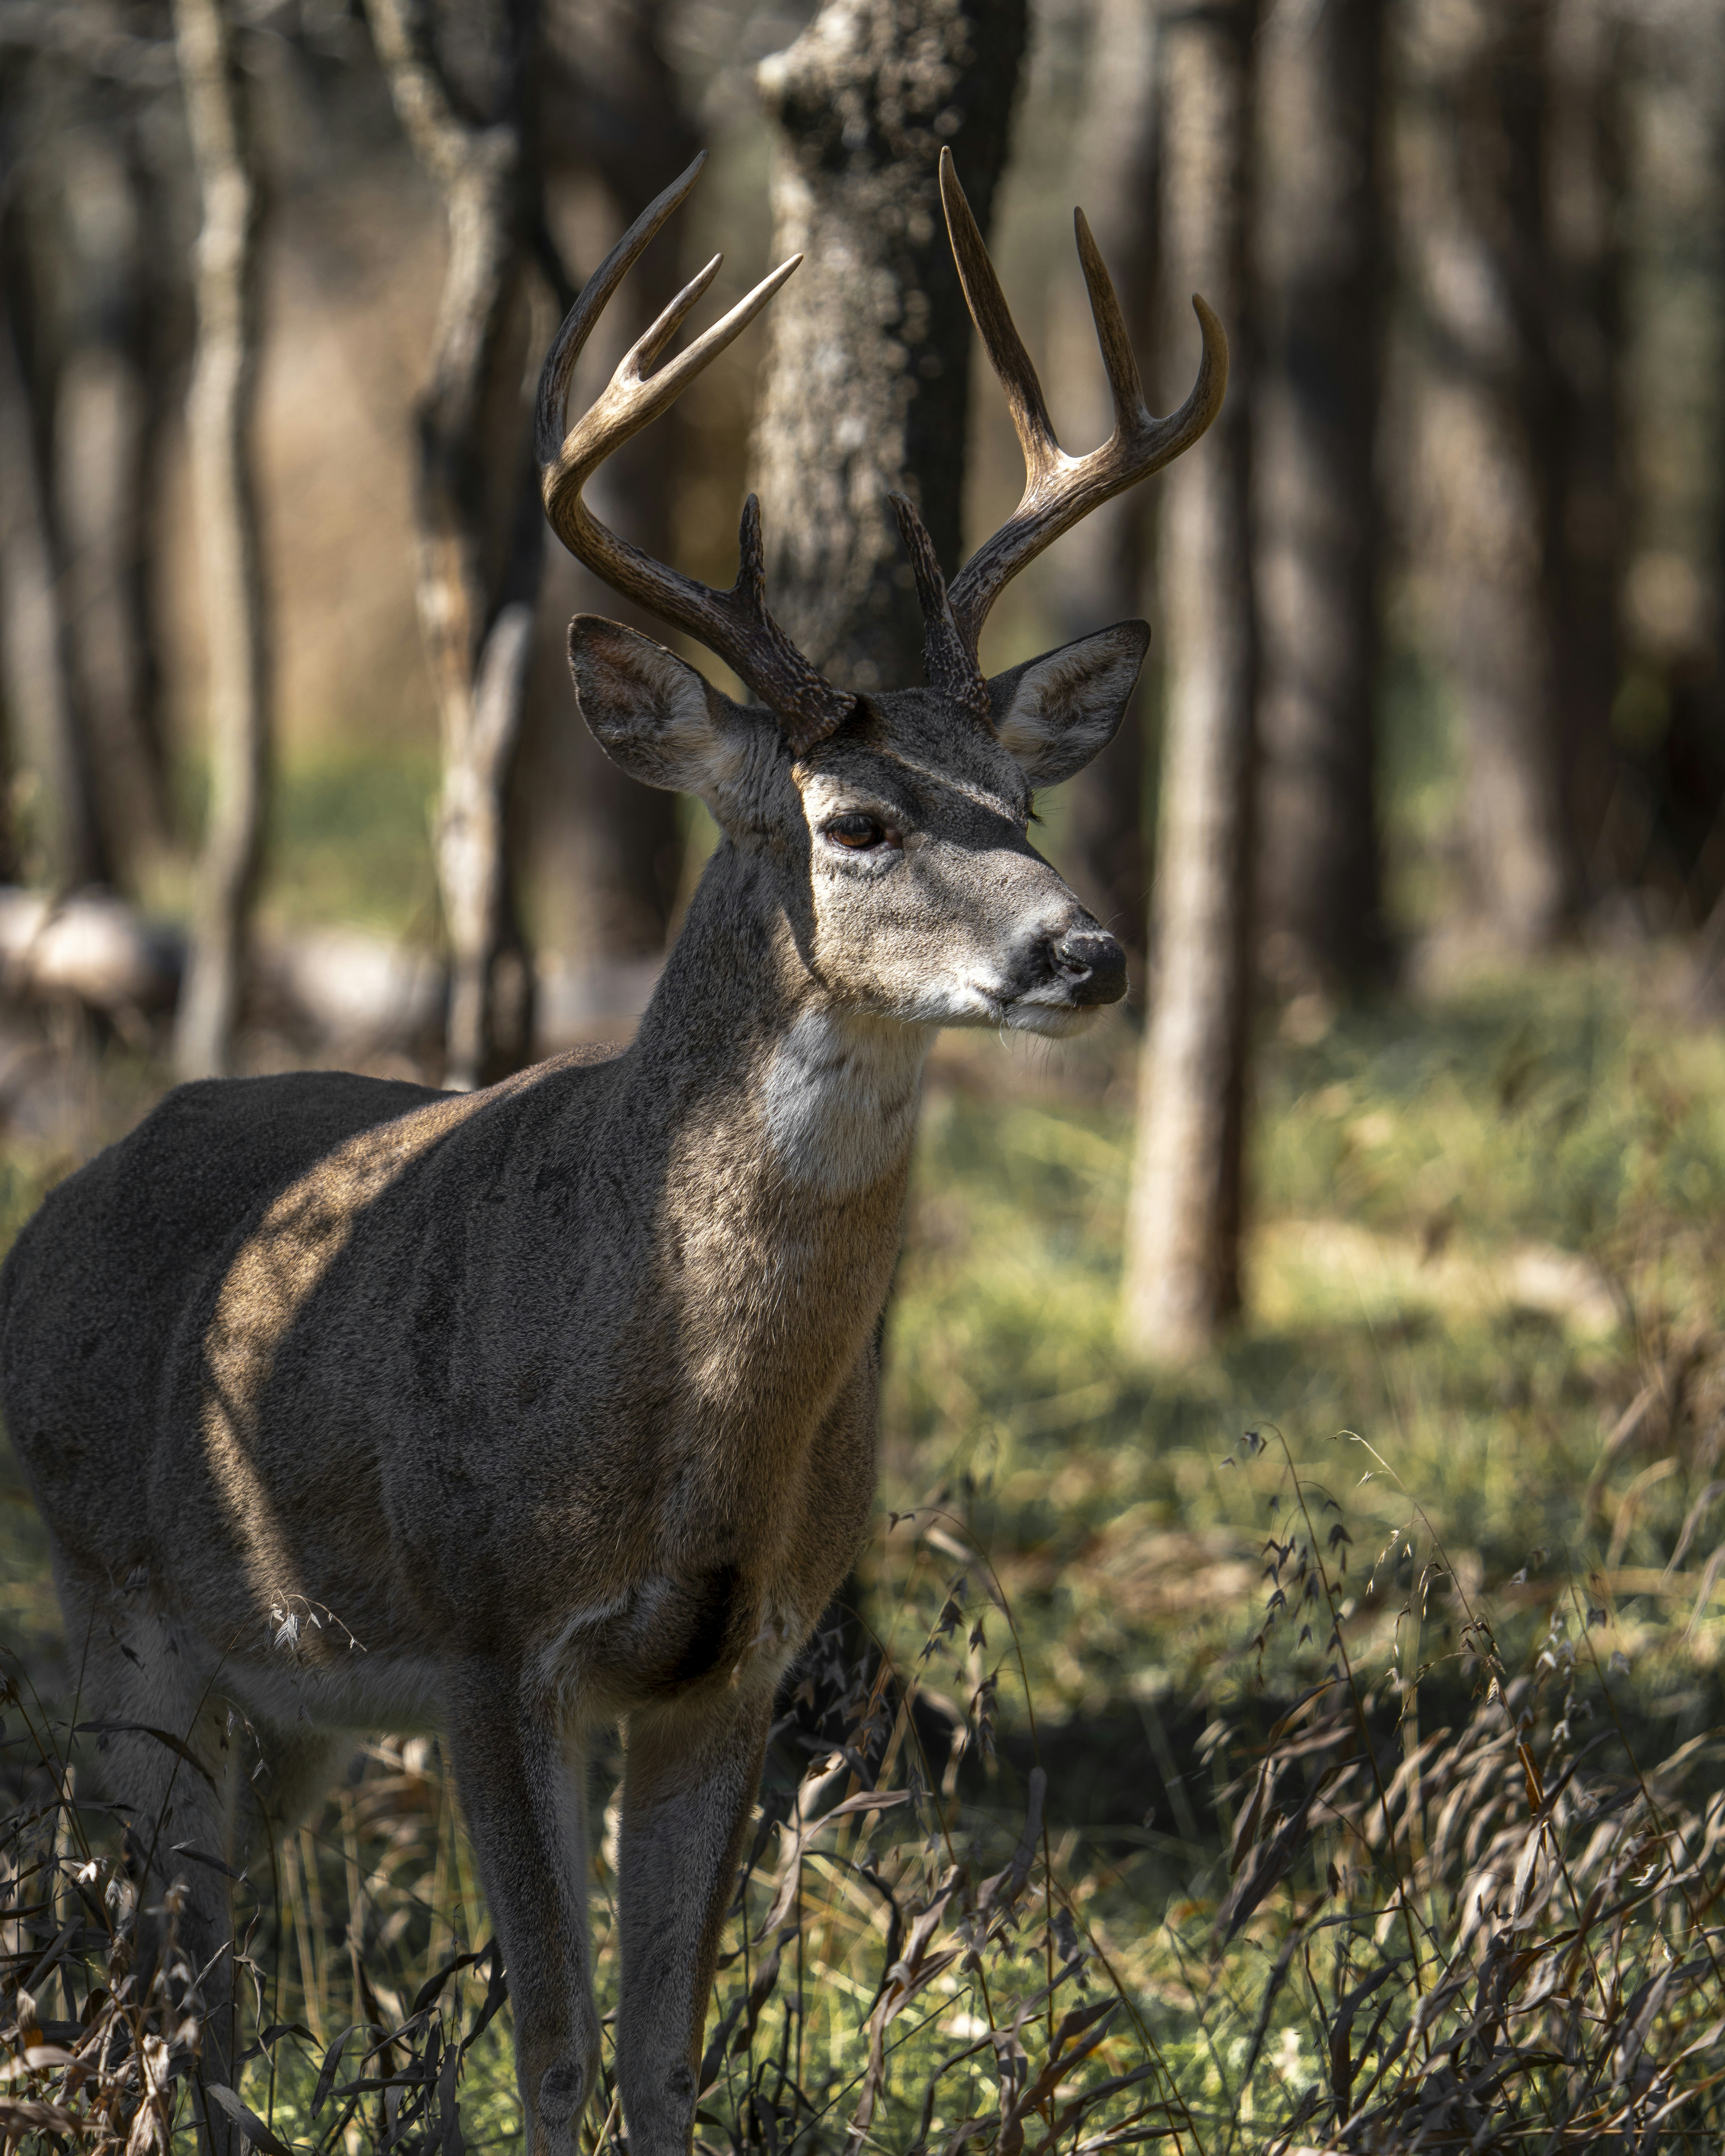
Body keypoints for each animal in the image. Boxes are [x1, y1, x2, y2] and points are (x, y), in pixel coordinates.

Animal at [0, 149, 1223, 2156]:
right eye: (855, 820)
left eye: (1023, 803)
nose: (1089, 951)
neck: (685, 1398)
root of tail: (60, 1205)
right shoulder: (489, 1636)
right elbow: (556, 2042)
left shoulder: (735, 1664)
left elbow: (662, 2052)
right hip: (117, 1594)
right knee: (161, 1951)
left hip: (290, 1695)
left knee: (202, 1957)